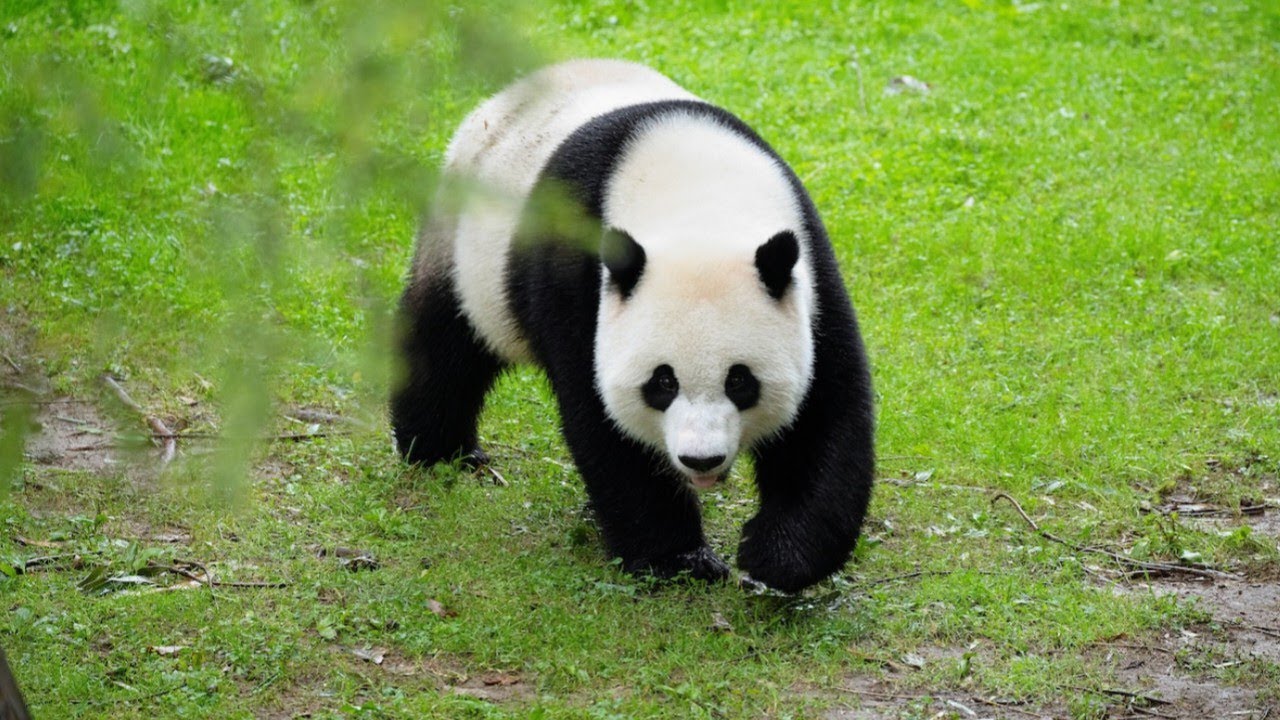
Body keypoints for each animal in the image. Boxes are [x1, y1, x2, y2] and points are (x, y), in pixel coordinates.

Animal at [391, 59, 875, 593]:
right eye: (662, 383)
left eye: (741, 381)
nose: (701, 460)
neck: (699, 200)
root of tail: (501, 99)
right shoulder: (577, 275)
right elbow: (602, 420)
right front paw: (680, 558)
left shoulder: (808, 273)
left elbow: (825, 412)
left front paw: (776, 554)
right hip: (466, 246)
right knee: (446, 343)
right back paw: (440, 449)